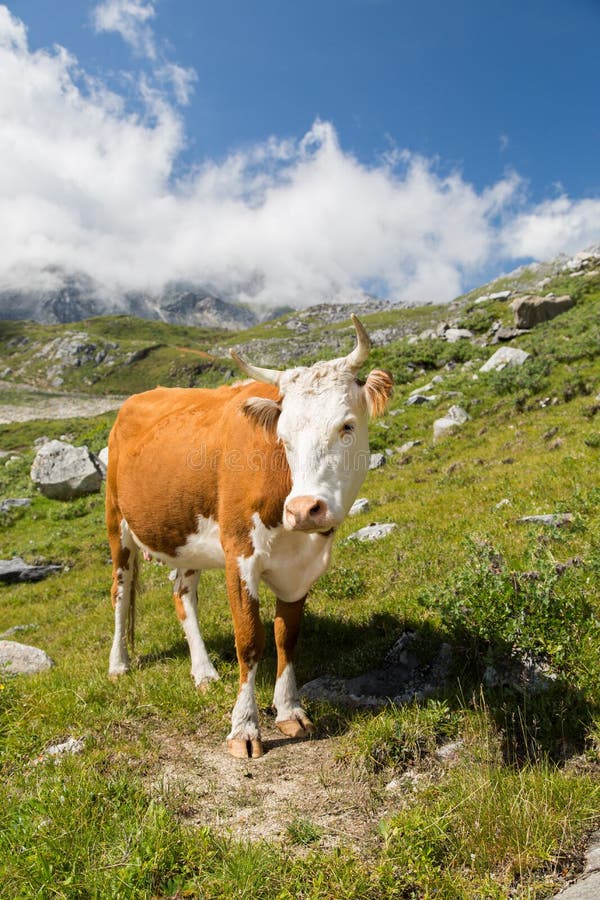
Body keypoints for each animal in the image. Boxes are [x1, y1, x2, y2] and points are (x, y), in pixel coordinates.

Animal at [106, 315, 393, 758]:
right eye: (283, 437)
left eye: (346, 425)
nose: (303, 509)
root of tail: (137, 399)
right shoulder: (239, 555)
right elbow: (249, 641)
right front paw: (244, 729)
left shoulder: (301, 565)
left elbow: (286, 637)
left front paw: (290, 710)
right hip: (117, 521)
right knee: (120, 594)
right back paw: (118, 664)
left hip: (186, 537)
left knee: (182, 595)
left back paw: (203, 671)